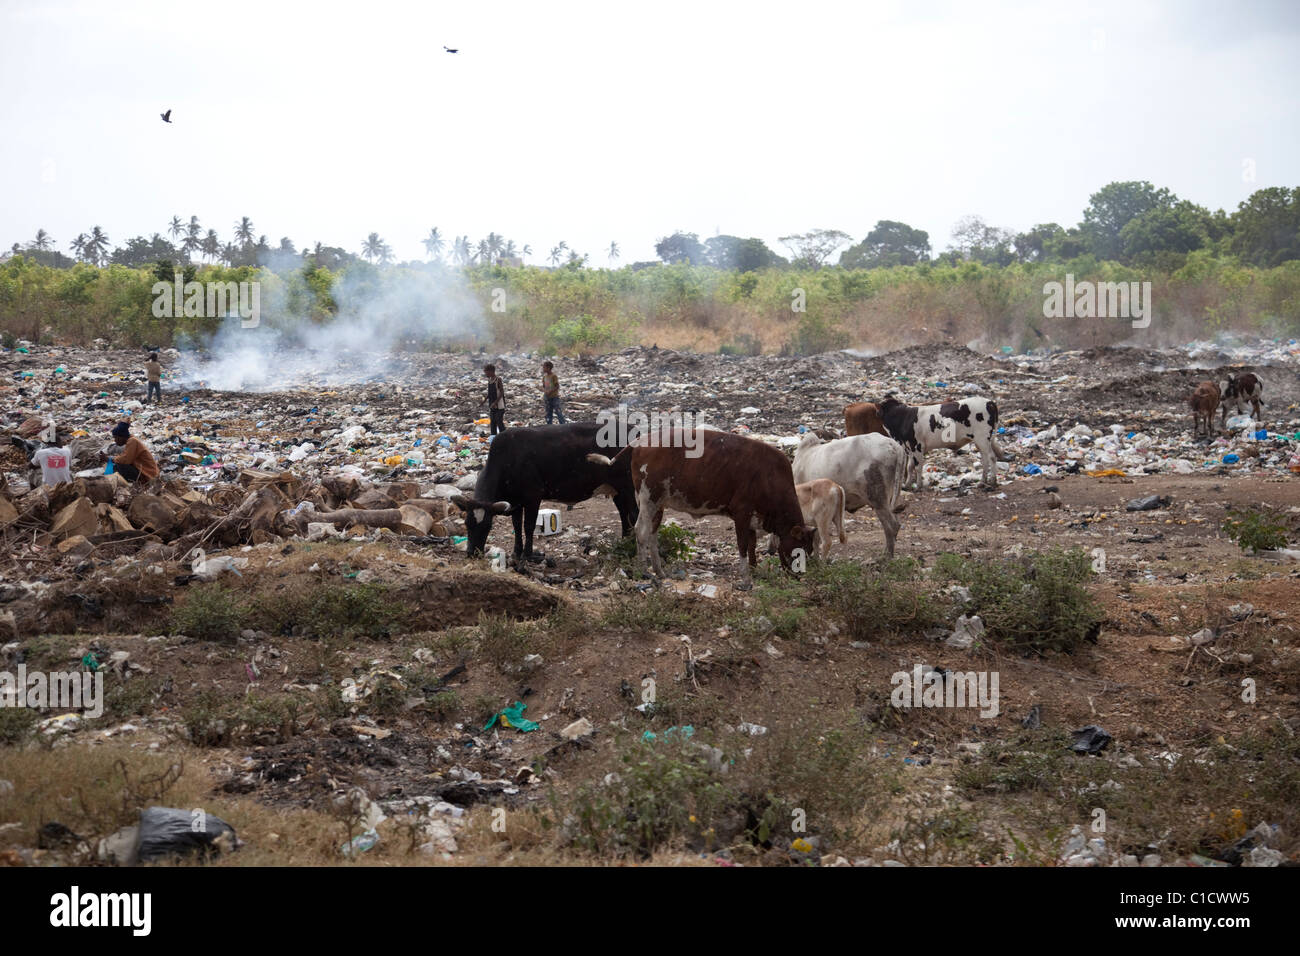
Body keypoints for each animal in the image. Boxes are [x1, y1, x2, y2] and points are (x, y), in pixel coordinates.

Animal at [451, 422, 637, 562]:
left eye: (488, 526)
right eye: (467, 524)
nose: (472, 553)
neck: (507, 461)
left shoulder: (533, 497)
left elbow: (528, 526)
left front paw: (528, 555)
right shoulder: (515, 502)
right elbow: (517, 526)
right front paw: (516, 552)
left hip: (628, 486)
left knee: (634, 514)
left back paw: (633, 549)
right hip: (617, 490)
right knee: (624, 515)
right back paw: (623, 545)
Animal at [588, 430, 813, 586]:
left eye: (810, 551)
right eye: (798, 551)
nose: (800, 577)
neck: (769, 476)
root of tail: (641, 441)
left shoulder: (751, 519)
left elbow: (751, 546)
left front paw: (754, 571)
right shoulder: (741, 513)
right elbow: (742, 546)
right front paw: (746, 578)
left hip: (657, 504)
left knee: (652, 534)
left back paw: (659, 571)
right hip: (648, 498)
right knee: (641, 531)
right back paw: (643, 571)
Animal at [876, 396, 1008, 490]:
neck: (903, 418)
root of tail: (989, 402)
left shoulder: (917, 446)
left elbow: (918, 467)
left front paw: (918, 486)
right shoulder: (908, 448)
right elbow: (909, 467)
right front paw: (907, 485)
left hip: (982, 438)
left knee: (991, 457)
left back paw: (993, 481)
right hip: (981, 441)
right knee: (985, 460)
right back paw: (982, 482)